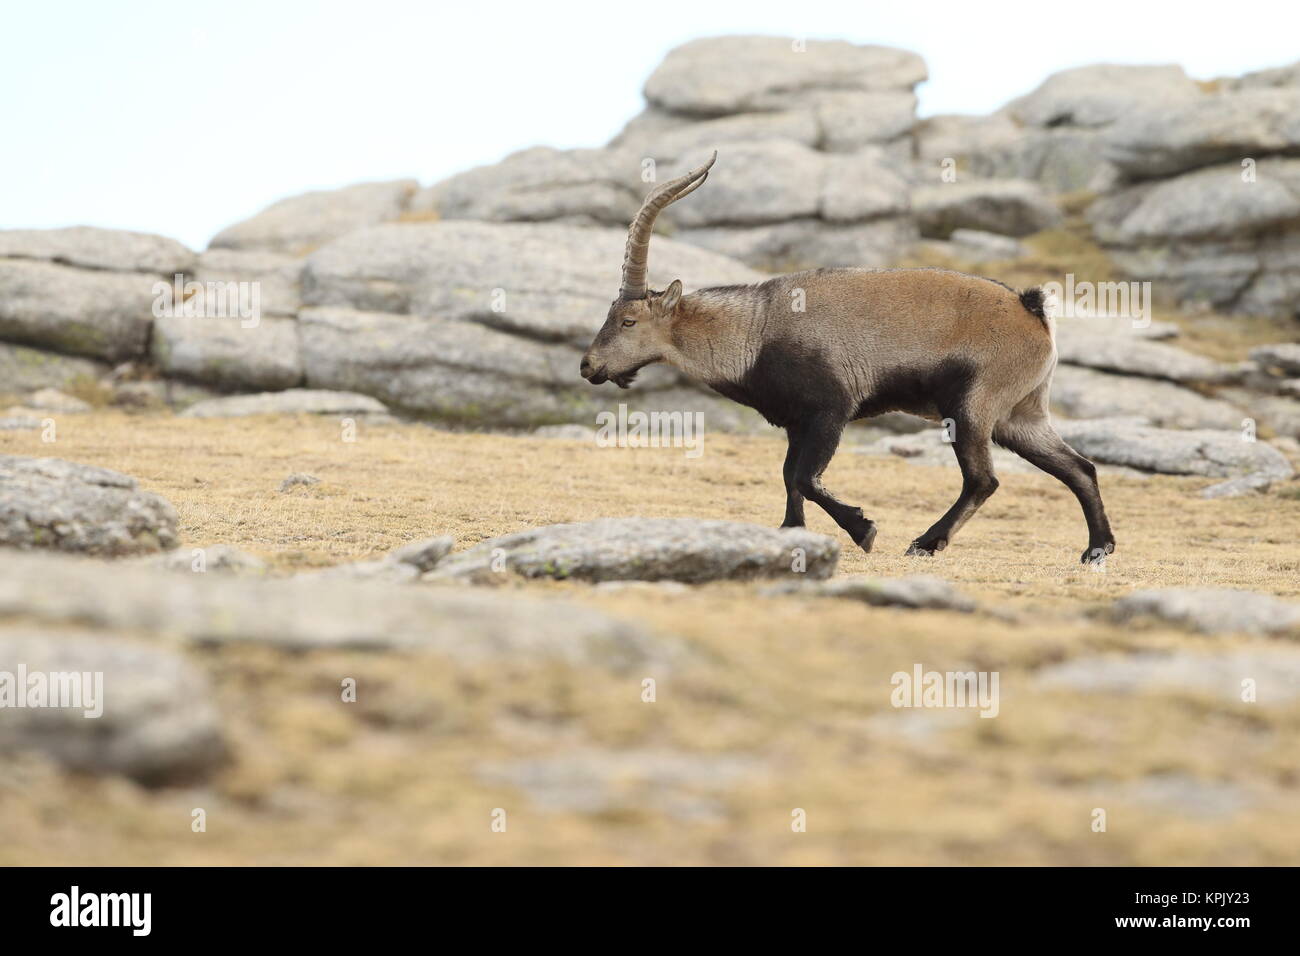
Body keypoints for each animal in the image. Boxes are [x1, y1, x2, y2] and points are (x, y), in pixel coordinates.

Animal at [580, 152, 1115, 563]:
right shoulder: (796, 421)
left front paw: (864, 529)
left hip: (973, 406)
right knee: (1078, 468)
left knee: (983, 479)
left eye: (628, 321)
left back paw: (926, 542)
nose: (589, 366)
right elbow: (789, 476)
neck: (755, 330)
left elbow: (805, 475)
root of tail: (1032, 310)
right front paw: (791, 533)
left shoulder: (831, 409)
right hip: (1018, 415)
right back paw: (1097, 549)